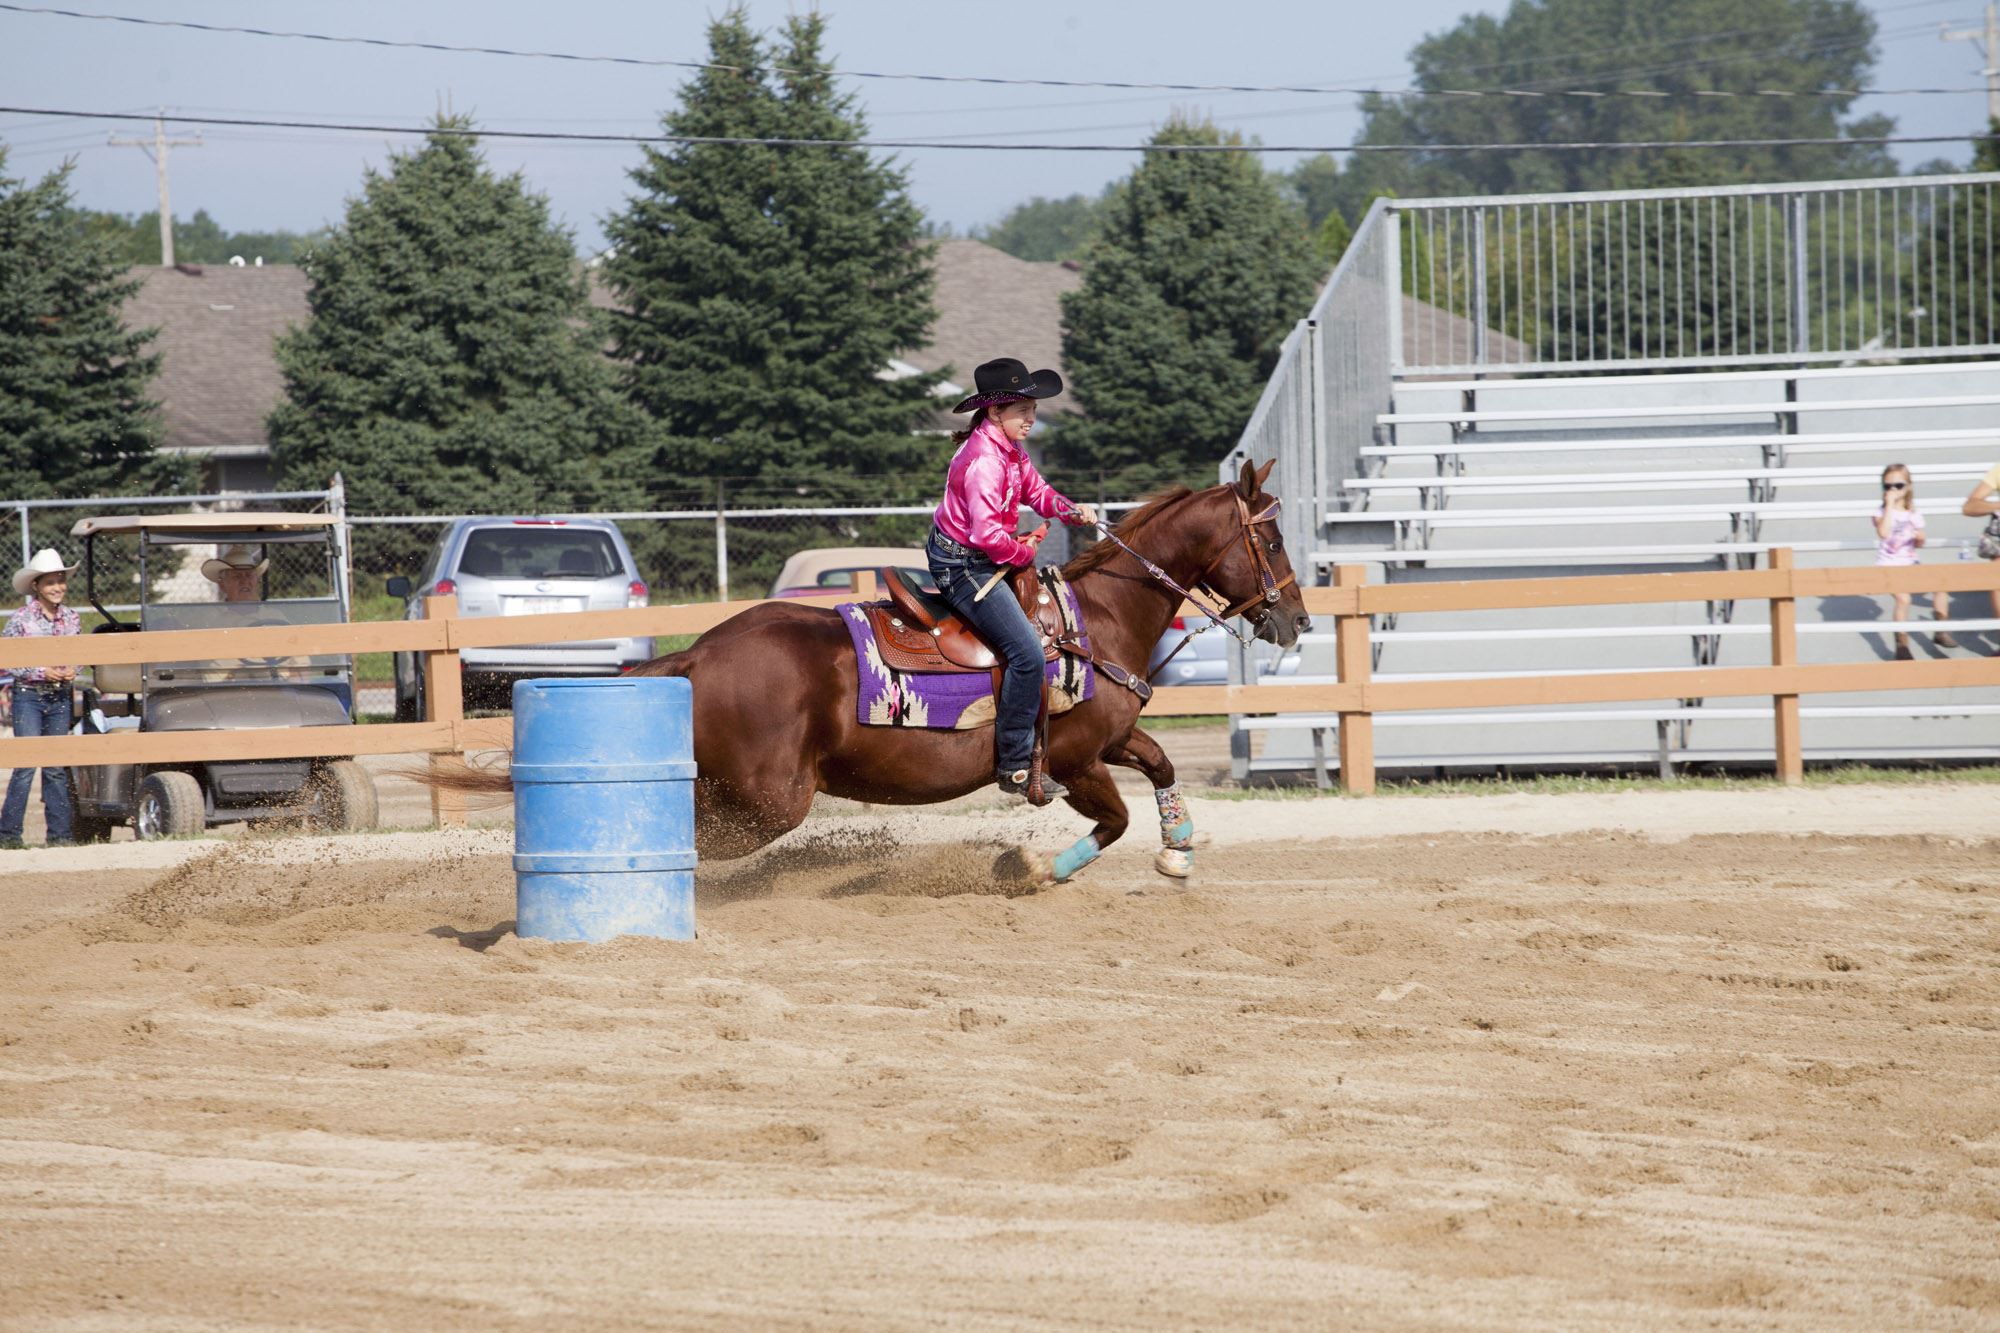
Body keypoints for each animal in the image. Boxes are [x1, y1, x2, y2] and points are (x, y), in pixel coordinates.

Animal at [437, 459, 1310, 884]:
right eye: (1268, 539)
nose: (1296, 619)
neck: (1096, 619)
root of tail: (699, 652)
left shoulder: (1111, 739)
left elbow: (1159, 765)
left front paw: (1179, 849)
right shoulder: (1068, 757)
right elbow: (1114, 818)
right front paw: (1030, 867)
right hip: (768, 800)